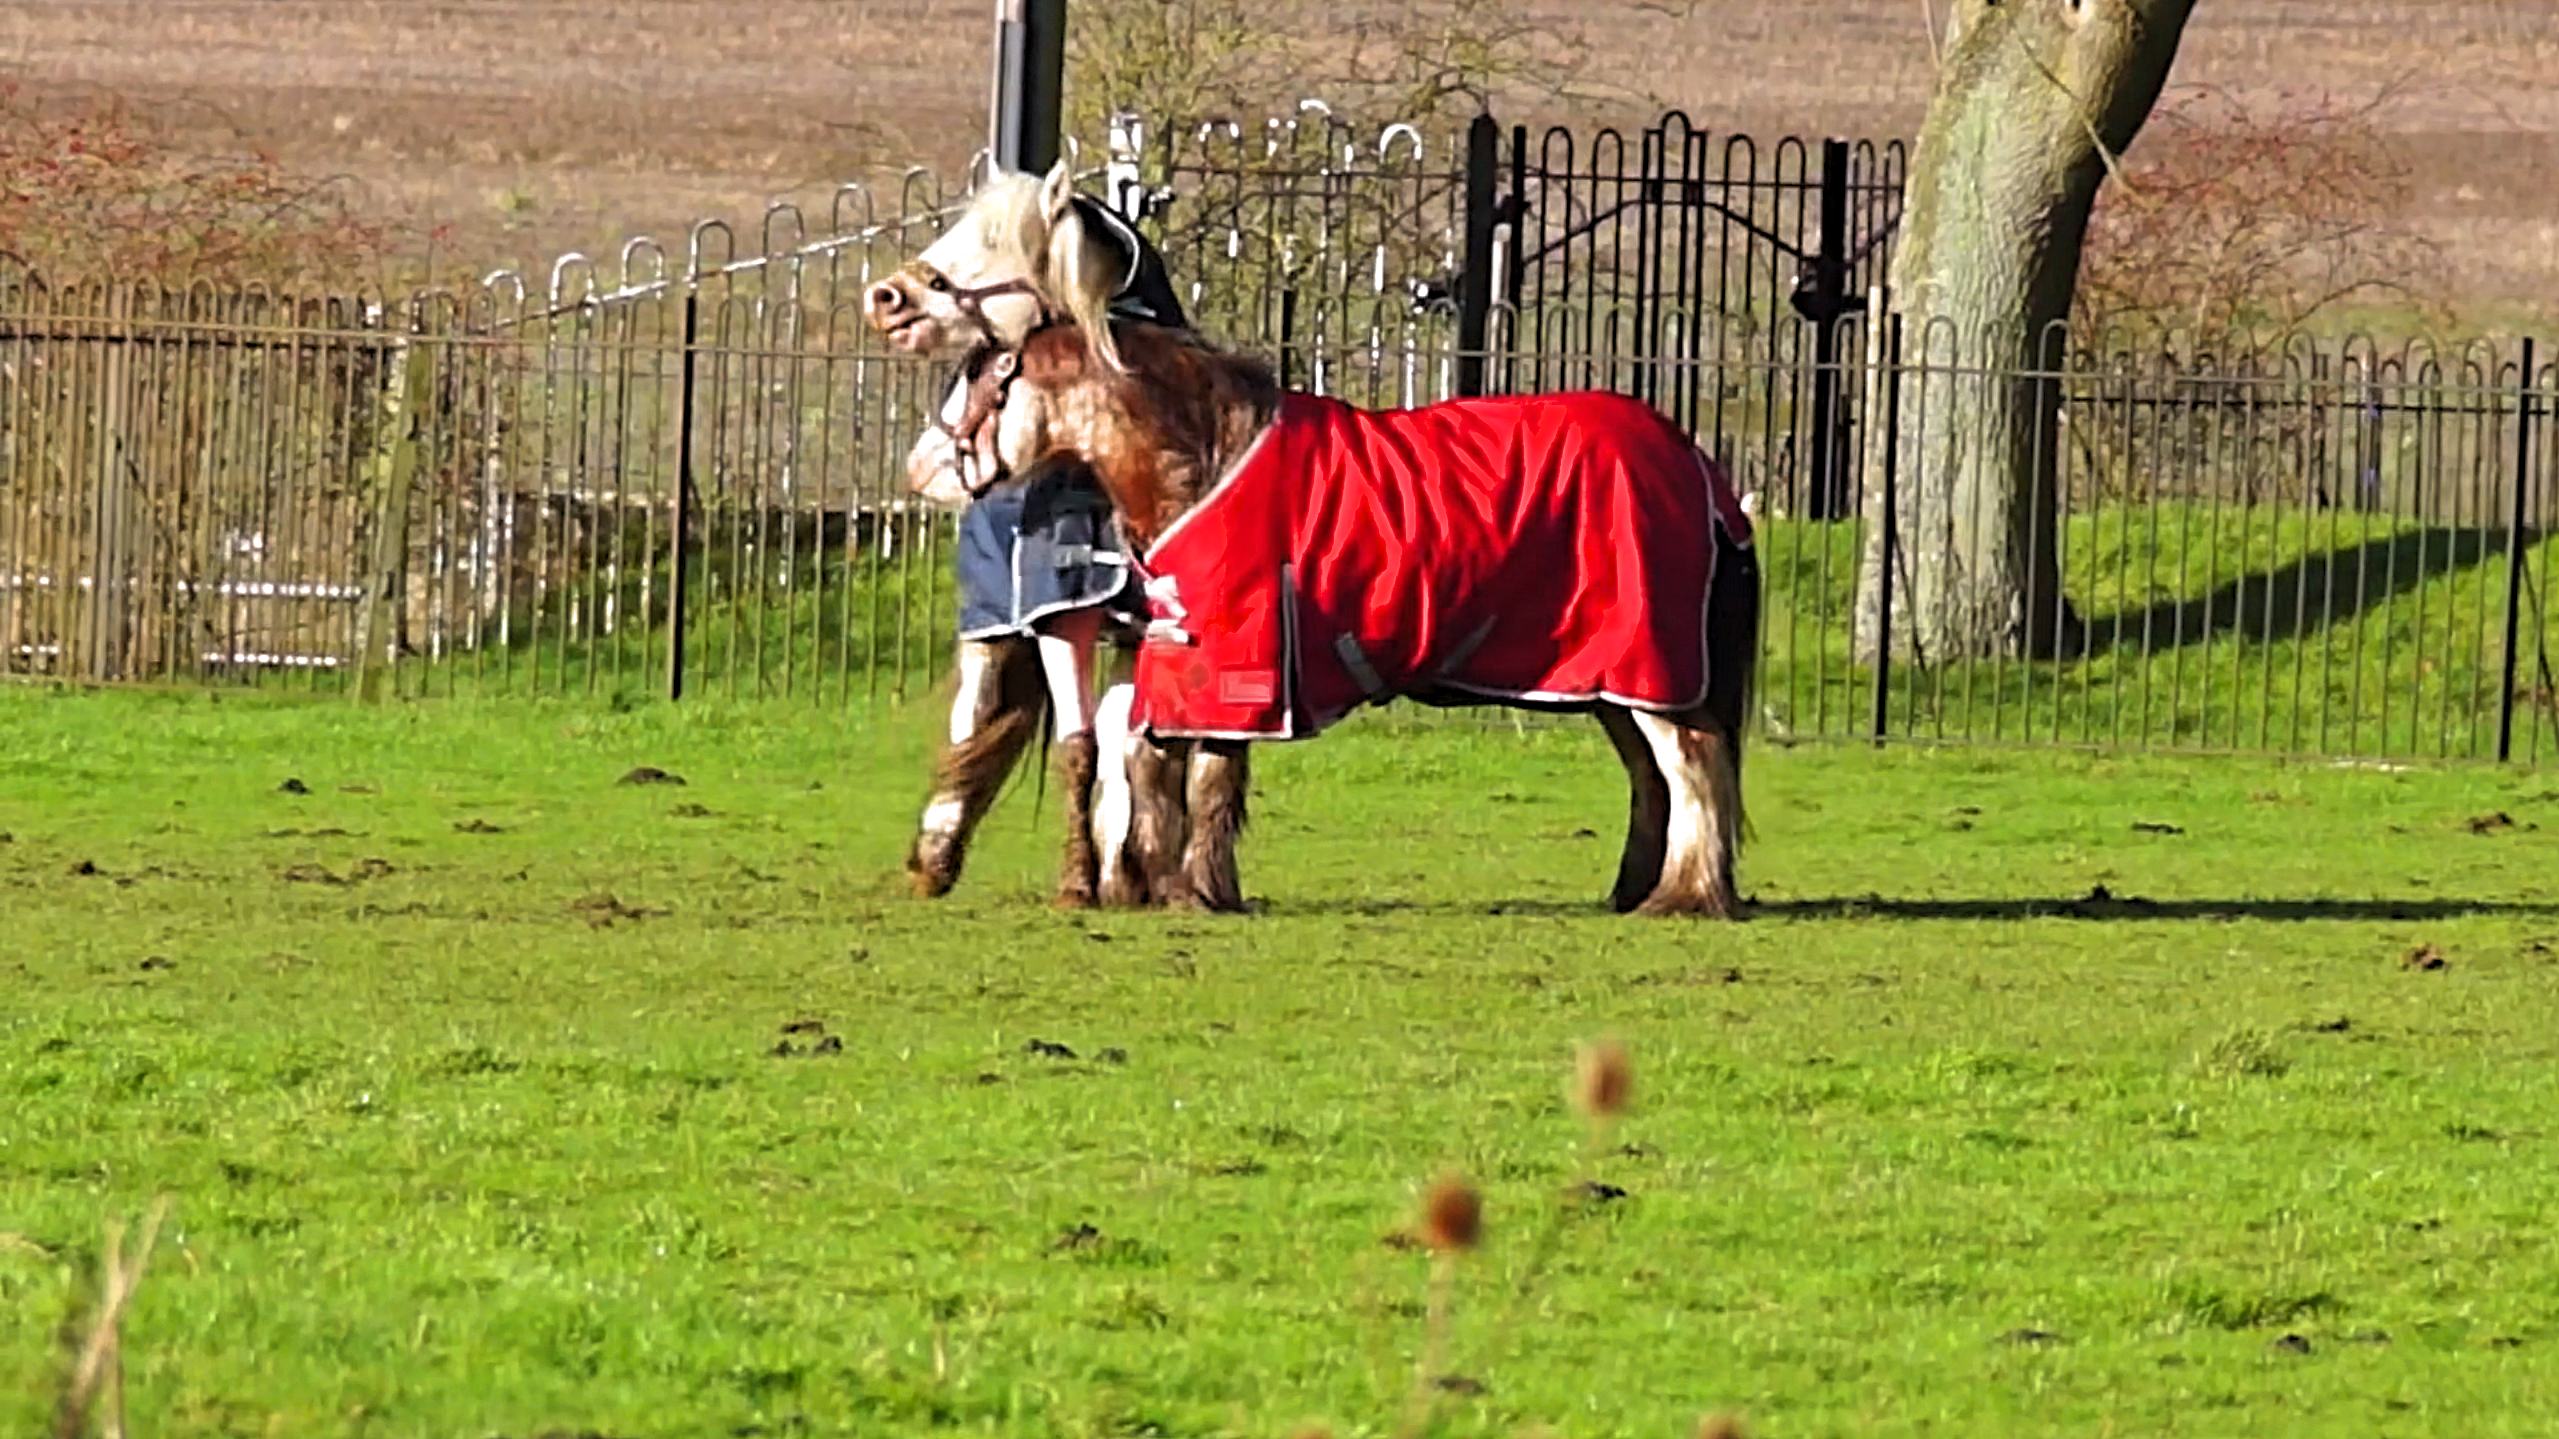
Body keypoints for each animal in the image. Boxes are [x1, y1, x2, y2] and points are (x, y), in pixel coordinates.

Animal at [863, 162, 1181, 907]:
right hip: (990, 623)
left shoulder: (1145, 631)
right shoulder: (1062, 619)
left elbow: (1132, 747)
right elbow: (1078, 747)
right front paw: (1079, 881)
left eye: (988, 240)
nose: (885, 297)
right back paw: (935, 855)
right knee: (970, 716)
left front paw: (1130, 874)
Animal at [978, 317, 1765, 917]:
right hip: (1612, 677)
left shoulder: (1242, 664)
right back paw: (1638, 891)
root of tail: (1700, 469)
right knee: (1652, 776)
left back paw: (1683, 896)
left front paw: (1196, 889)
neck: (1205, 460)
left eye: (986, 384)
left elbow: (1207, 778)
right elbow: (1164, 765)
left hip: (1651, 669)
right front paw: (1173, 884)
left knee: (1691, 763)